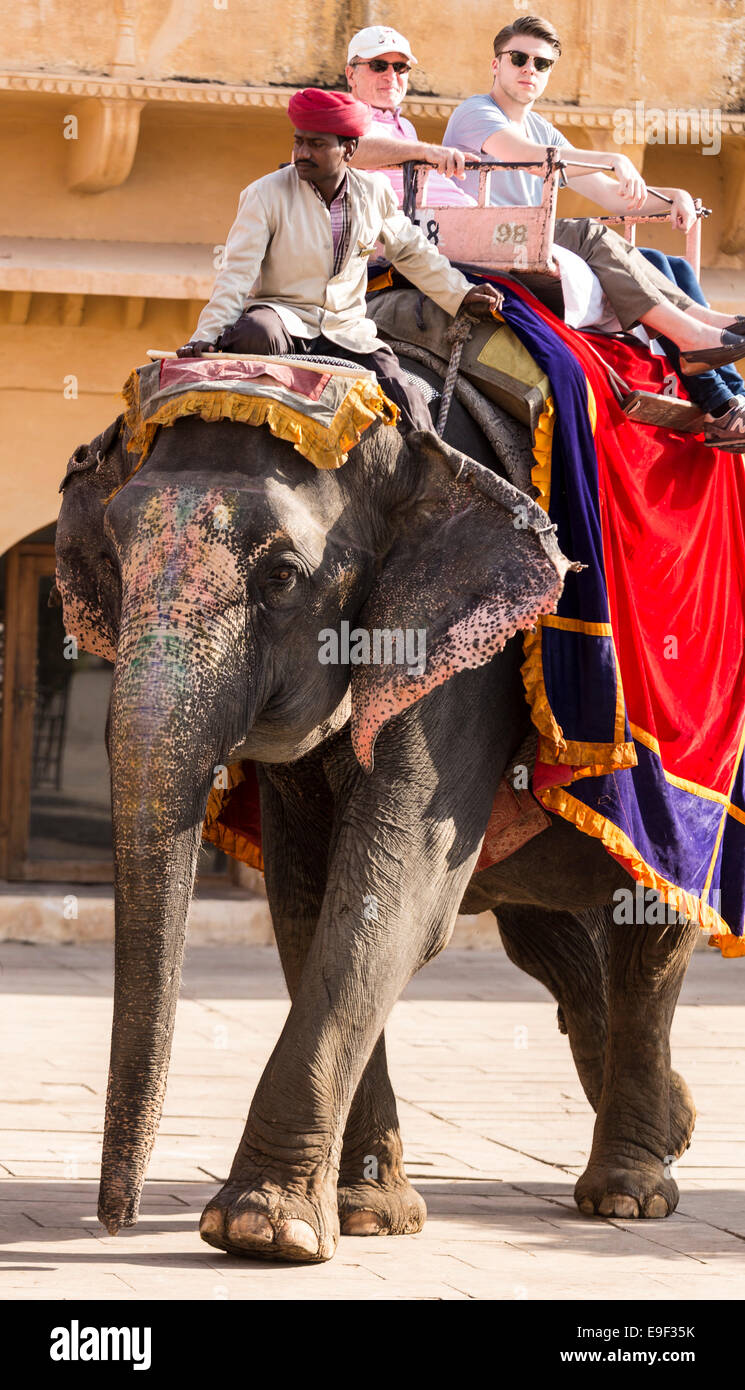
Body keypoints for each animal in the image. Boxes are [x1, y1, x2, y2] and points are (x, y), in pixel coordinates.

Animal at [56, 371, 698, 1264]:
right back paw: (674, 1128)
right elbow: (305, 895)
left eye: (281, 576)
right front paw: (366, 1213)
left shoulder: (467, 663)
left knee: (651, 930)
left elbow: (394, 894)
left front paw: (264, 1228)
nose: (113, 1221)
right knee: (551, 939)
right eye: (113, 560)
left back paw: (629, 1192)